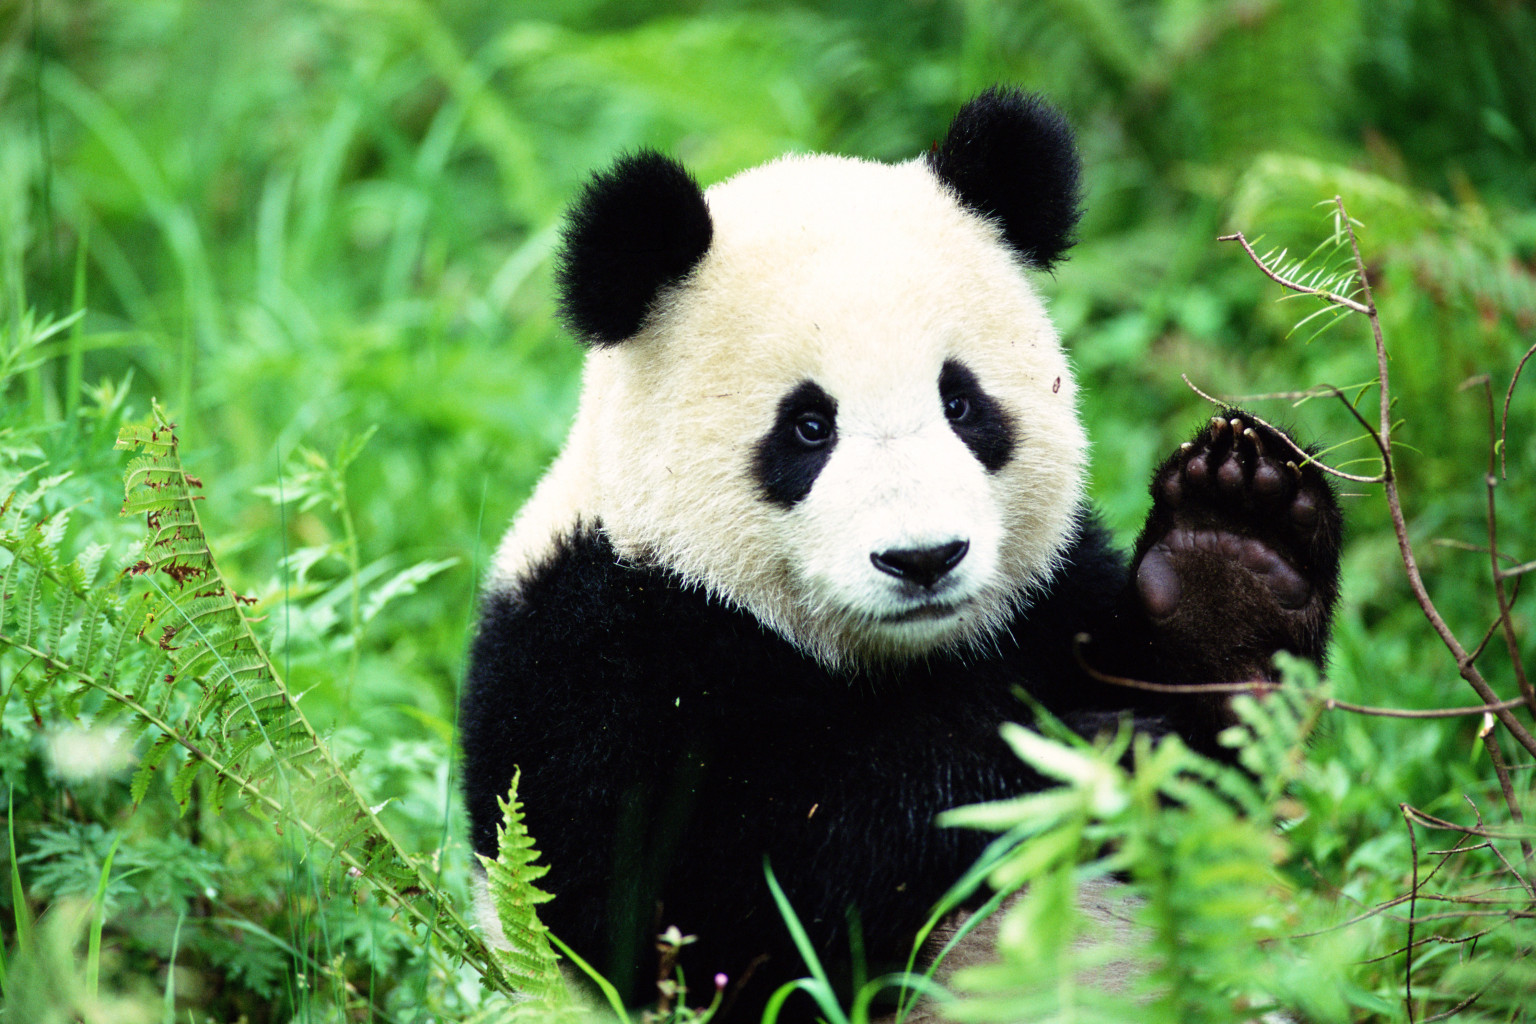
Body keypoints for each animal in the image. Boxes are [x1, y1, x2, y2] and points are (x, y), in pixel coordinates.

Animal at [460, 87, 1341, 1021]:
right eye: (809, 427)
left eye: (962, 404)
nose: (924, 558)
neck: (889, 656)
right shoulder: (591, 653)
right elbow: (695, 894)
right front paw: (1073, 761)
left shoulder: (1054, 593)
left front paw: (1230, 559)